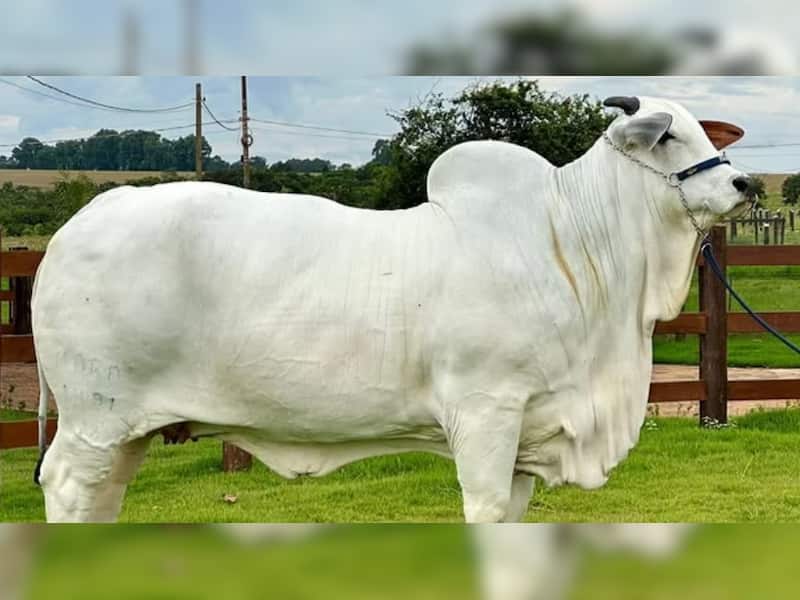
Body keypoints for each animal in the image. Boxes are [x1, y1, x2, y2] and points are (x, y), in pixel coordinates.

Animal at [31, 95, 748, 522]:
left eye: (701, 131)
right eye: (665, 137)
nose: (742, 182)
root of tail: (83, 221)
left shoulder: (527, 434)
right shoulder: (486, 415)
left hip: (126, 433)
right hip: (95, 420)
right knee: (67, 490)